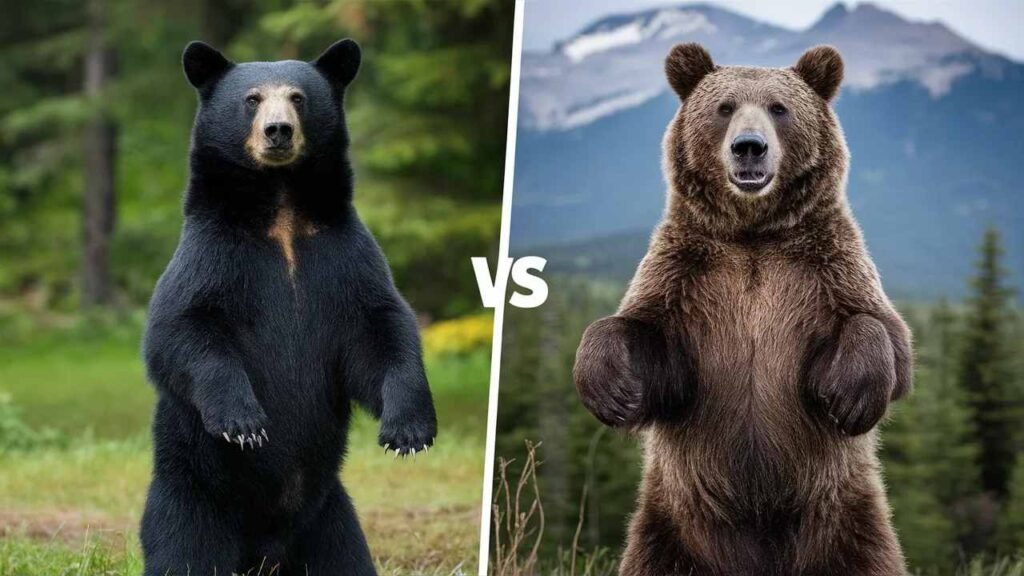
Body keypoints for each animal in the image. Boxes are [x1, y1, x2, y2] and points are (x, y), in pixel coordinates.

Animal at [139, 39, 437, 576]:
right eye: (252, 99)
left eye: (298, 97)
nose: (278, 130)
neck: (281, 211)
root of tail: (264, 556)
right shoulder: (213, 254)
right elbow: (182, 330)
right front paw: (244, 424)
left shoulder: (343, 256)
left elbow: (379, 331)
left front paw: (408, 431)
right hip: (192, 495)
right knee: (184, 550)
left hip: (331, 517)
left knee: (347, 557)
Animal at [573, 44, 912, 576]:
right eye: (724, 107)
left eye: (779, 107)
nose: (749, 146)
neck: (752, 235)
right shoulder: (688, 275)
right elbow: (647, 340)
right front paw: (611, 389)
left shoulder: (824, 269)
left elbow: (884, 333)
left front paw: (851, 396)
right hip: (670, 525)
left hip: (847, 517)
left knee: (866, 555)